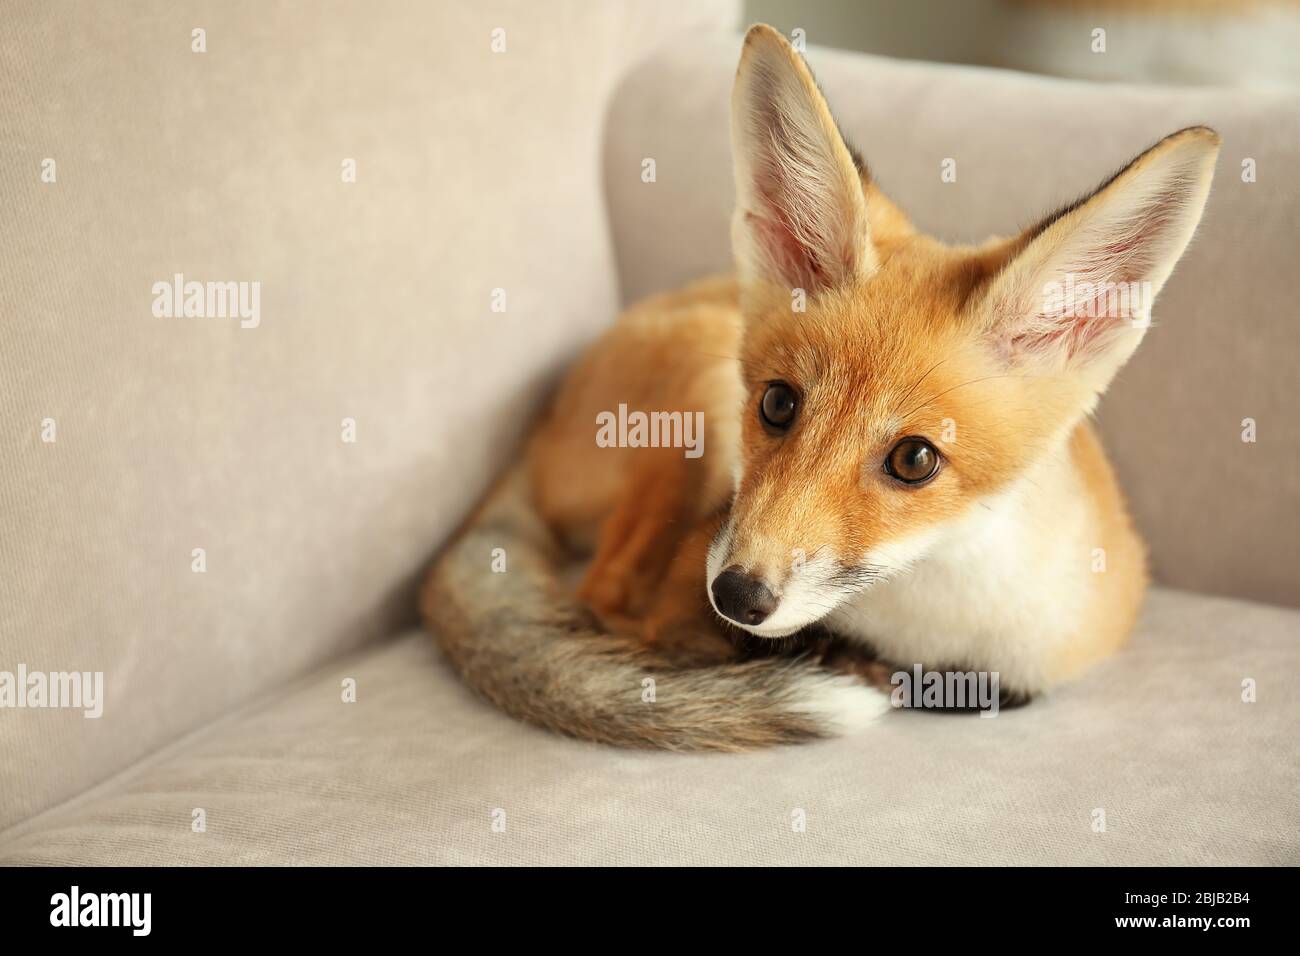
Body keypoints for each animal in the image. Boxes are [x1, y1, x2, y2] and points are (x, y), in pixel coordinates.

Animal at [420, 24, 1221, 750]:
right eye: (779, 404)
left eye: (915, 460)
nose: (737, 595)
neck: (927, 617)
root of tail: (537, 434)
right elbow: (676, 640)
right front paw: (809, 667)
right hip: (696, 399)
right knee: (603, 596)